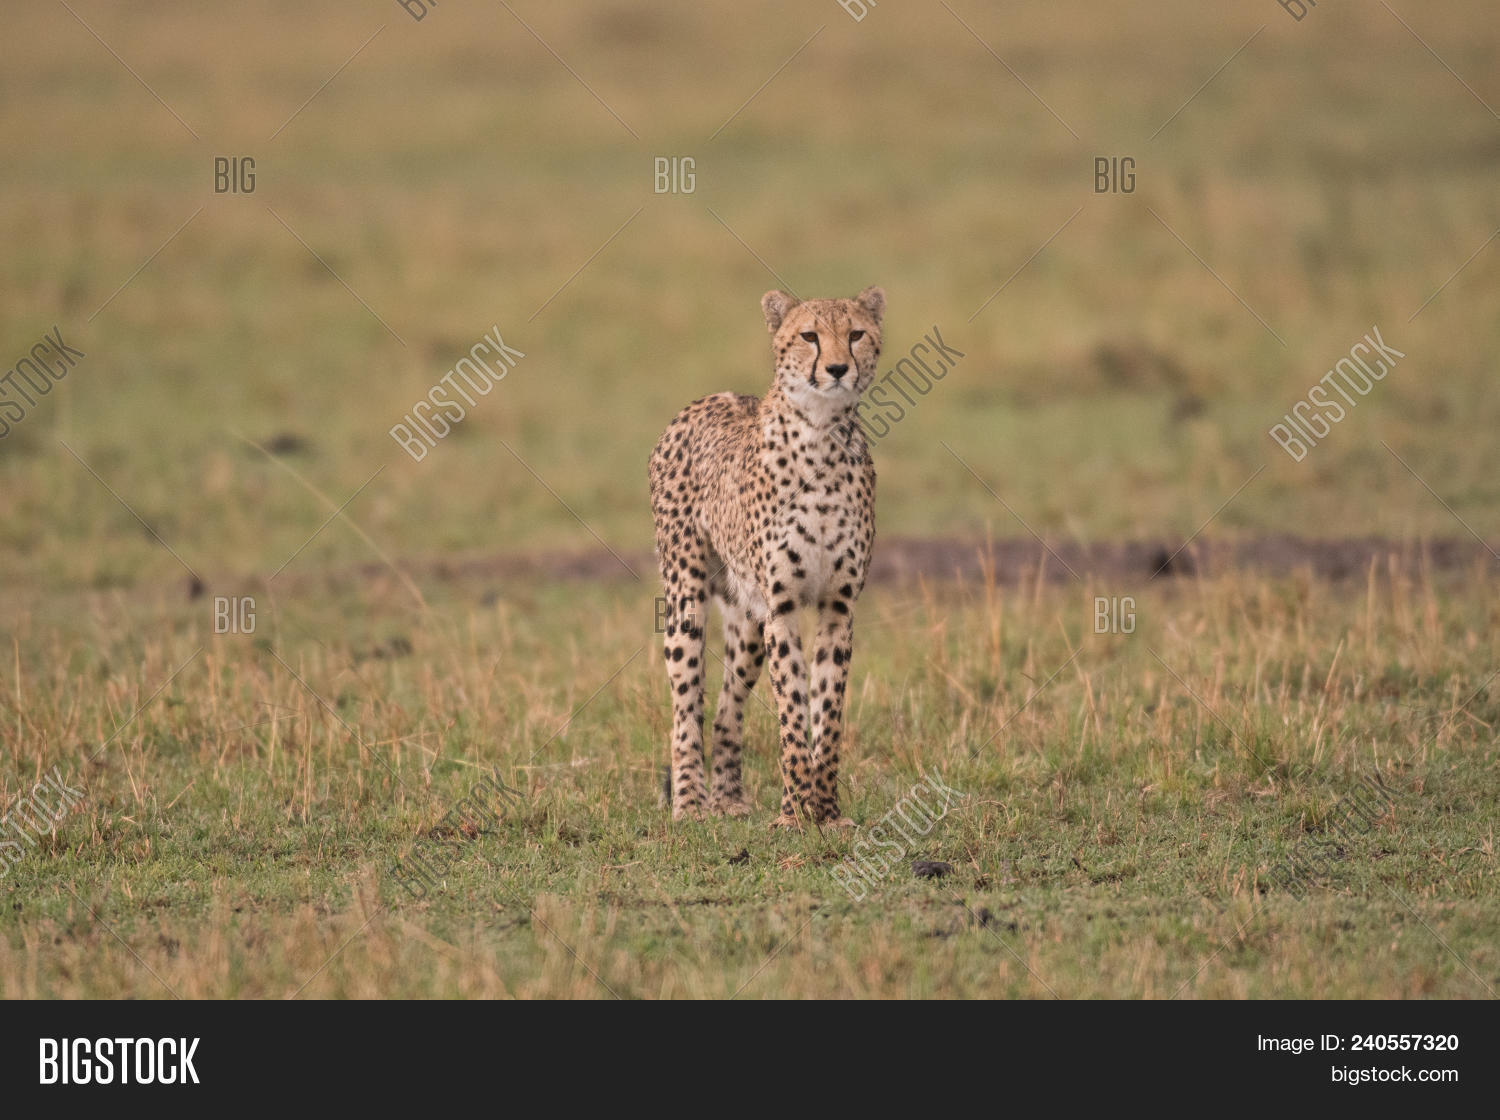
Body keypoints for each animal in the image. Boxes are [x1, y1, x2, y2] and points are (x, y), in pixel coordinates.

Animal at [648, 286, 884, 829]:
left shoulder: (837, 607)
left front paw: (826, 813)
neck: (821, 434)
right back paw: (690, 804)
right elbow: (793, 714)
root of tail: (708, 397)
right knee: (686, 708)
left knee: (726, 712)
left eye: (857, 334)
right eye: (809, 335)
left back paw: (729, 799)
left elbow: (826, 713)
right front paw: (795, 815)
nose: (837, 368)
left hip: (748, 619)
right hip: (685, 599)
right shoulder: (783, 607)